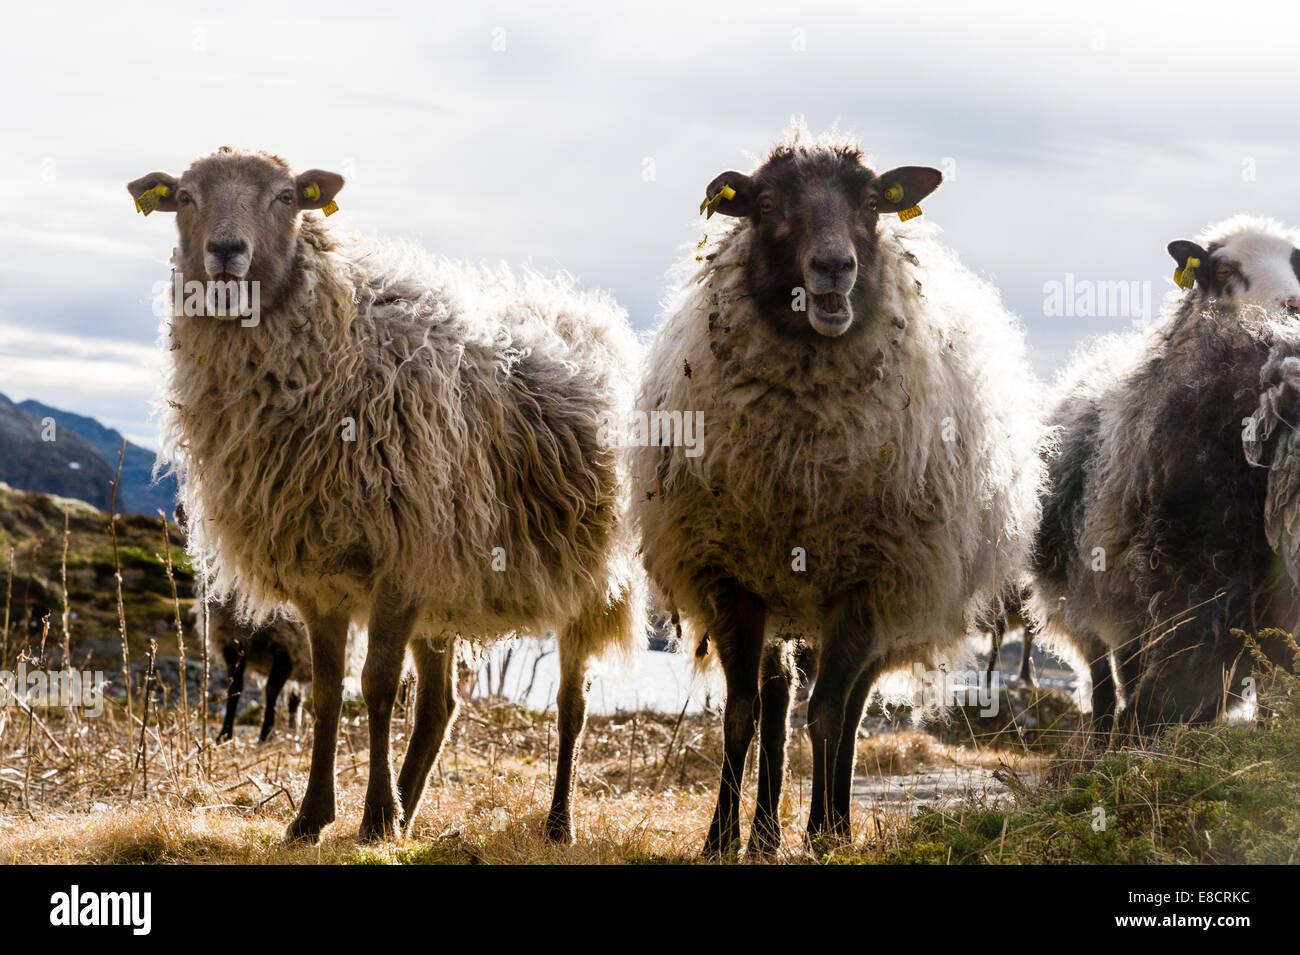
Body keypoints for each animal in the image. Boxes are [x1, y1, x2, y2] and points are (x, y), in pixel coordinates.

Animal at [127, 147, 644, 843]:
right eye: (184, 196)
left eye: (287, 196)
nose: (226, 251)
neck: (341, 347)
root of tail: (583, 315)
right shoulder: (320, 581)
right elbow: (325, 694)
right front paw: (313, 818)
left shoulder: (399, 567)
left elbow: (374, 688)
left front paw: (371, 816)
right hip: (447, 587)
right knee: (439, 706)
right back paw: (409, 808)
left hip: (586, 585)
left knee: (569, 704)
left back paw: (555, 822)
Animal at [631, 127, 1046, 856]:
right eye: (767, 203)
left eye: (873, 203)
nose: (833, 266)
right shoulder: (731, 575)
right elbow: (741, 714)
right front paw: (720, 838)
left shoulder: (865, 581)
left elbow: (828, 715)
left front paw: (826, 832)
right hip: (780, 589)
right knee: (775, 701)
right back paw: (763, 834)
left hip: (883, 595)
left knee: (848, 706)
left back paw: (828, 824)